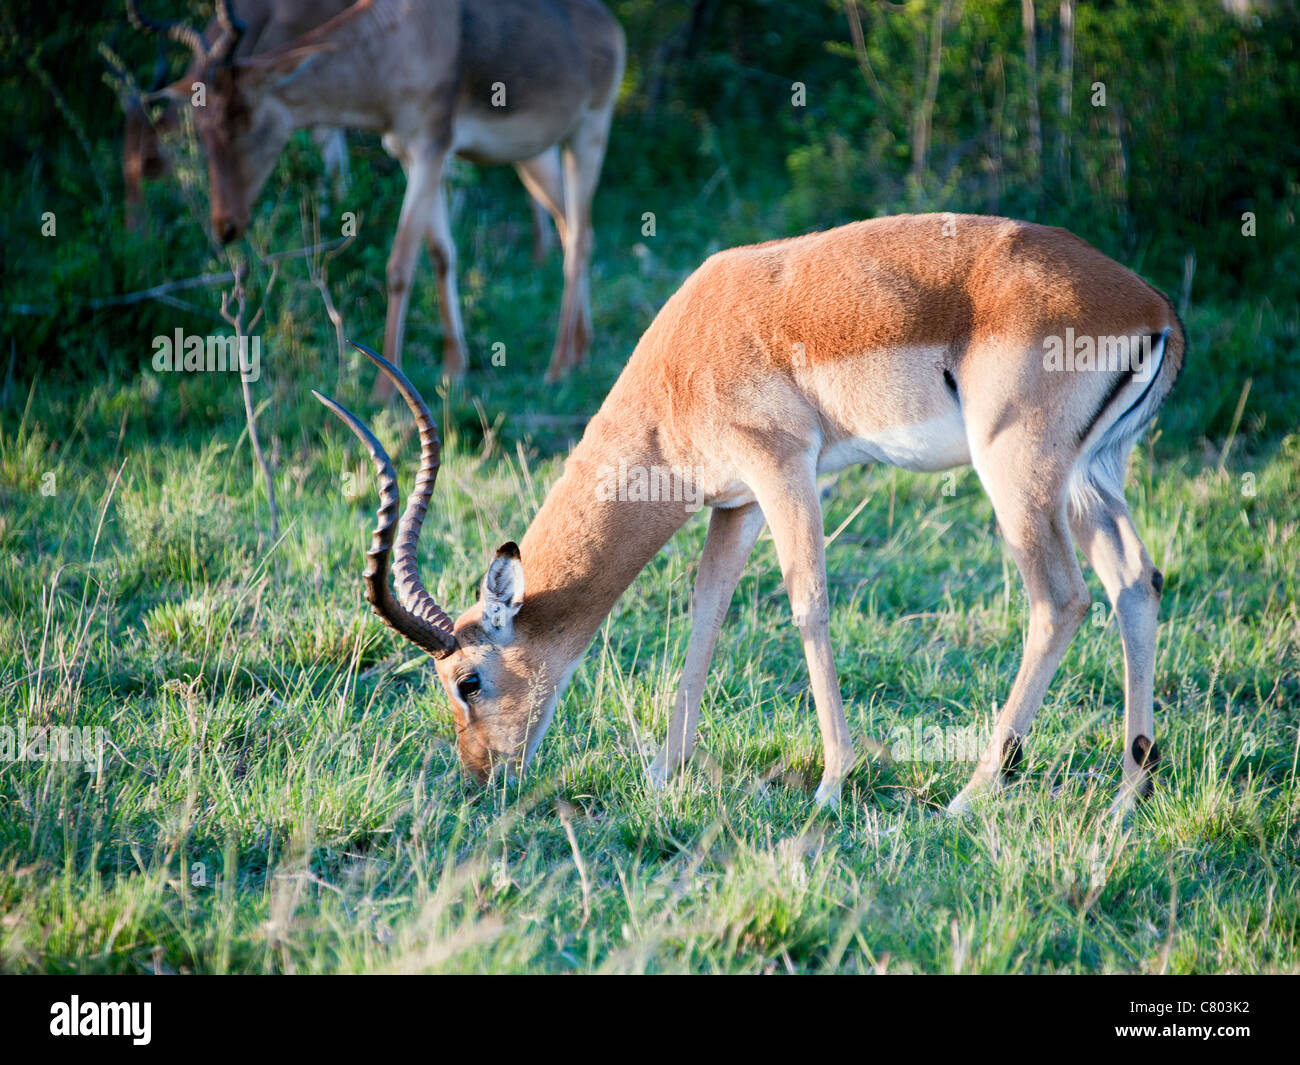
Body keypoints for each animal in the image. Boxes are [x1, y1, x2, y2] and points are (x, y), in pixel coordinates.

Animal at [129, 0, 626, 386]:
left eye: (240, 115)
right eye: (201, 124)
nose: (226, 226)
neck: (405, 33)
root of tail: (607, 25)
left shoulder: (429, 152)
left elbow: (400, 265)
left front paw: (385, 391)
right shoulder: (412, 156)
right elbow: (441, 254)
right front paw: (453, 369)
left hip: (588, 135)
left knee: (580, 239)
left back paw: (557, 367)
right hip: (534, 158)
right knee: (573, 229)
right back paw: (580, 350)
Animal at [317, 214, 1185, 815]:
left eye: (467, 678)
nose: (481, 775)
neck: (683, 360)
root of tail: (1155, 309)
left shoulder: (783, 467)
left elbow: (809, 604)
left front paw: (831, 785)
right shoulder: (734, 503)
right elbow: (706, 612)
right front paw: (663, 773)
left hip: (1017, 473)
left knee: (1060, 599)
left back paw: (970, 796)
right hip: (1091, 477)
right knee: (1134, 581)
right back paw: (1125, 797)